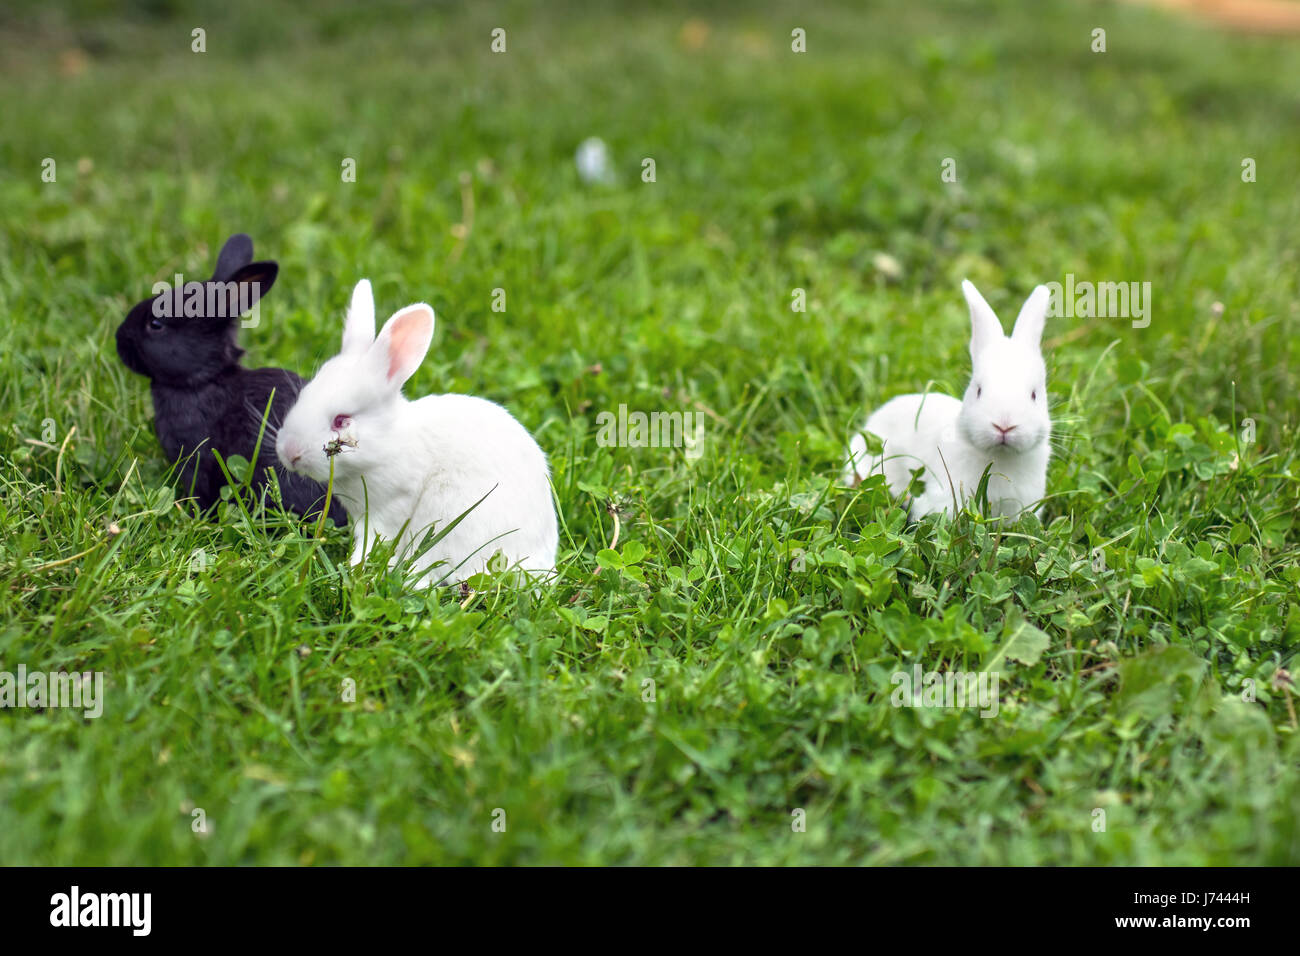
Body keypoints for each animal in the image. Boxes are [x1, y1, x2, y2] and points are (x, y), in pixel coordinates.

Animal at [274, 279, 559, 587]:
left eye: (341, 421)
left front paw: (355, 566)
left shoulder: (388, 508)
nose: (289, 453)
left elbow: (373, 540)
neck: (388, 444)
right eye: (303, 395)